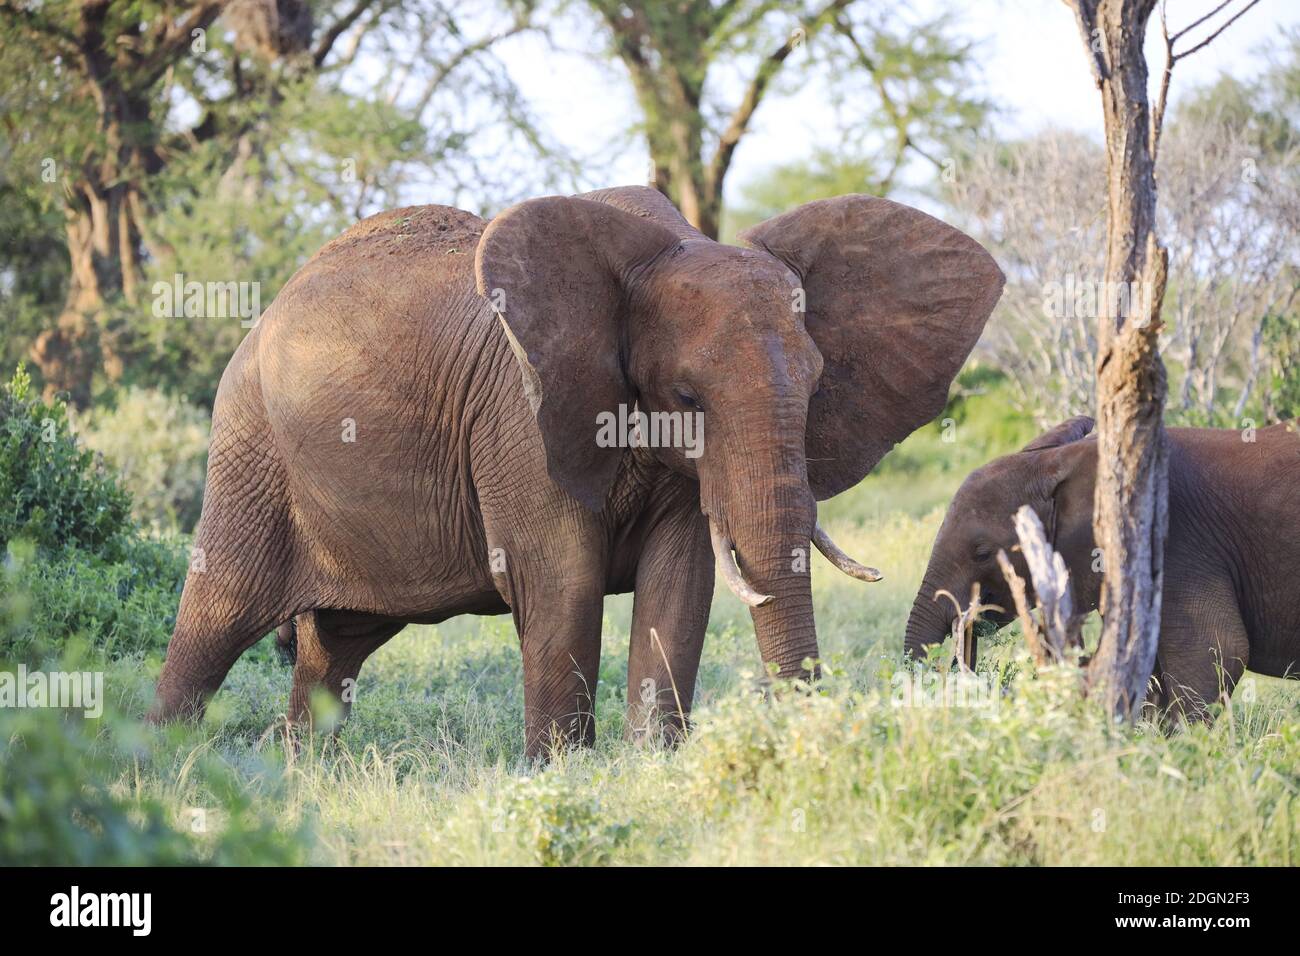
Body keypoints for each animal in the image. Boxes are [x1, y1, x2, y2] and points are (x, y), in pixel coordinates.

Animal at [150, 185, 1004, 757]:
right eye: (686, 396)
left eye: (819, 384)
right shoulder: (520, 415)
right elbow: (561, 580)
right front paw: (561, 771)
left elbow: (679, 582)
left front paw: (654, 763)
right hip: (250, 445)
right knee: (217, 619)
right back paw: (160, 766)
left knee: (336, 648)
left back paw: (308, 774)